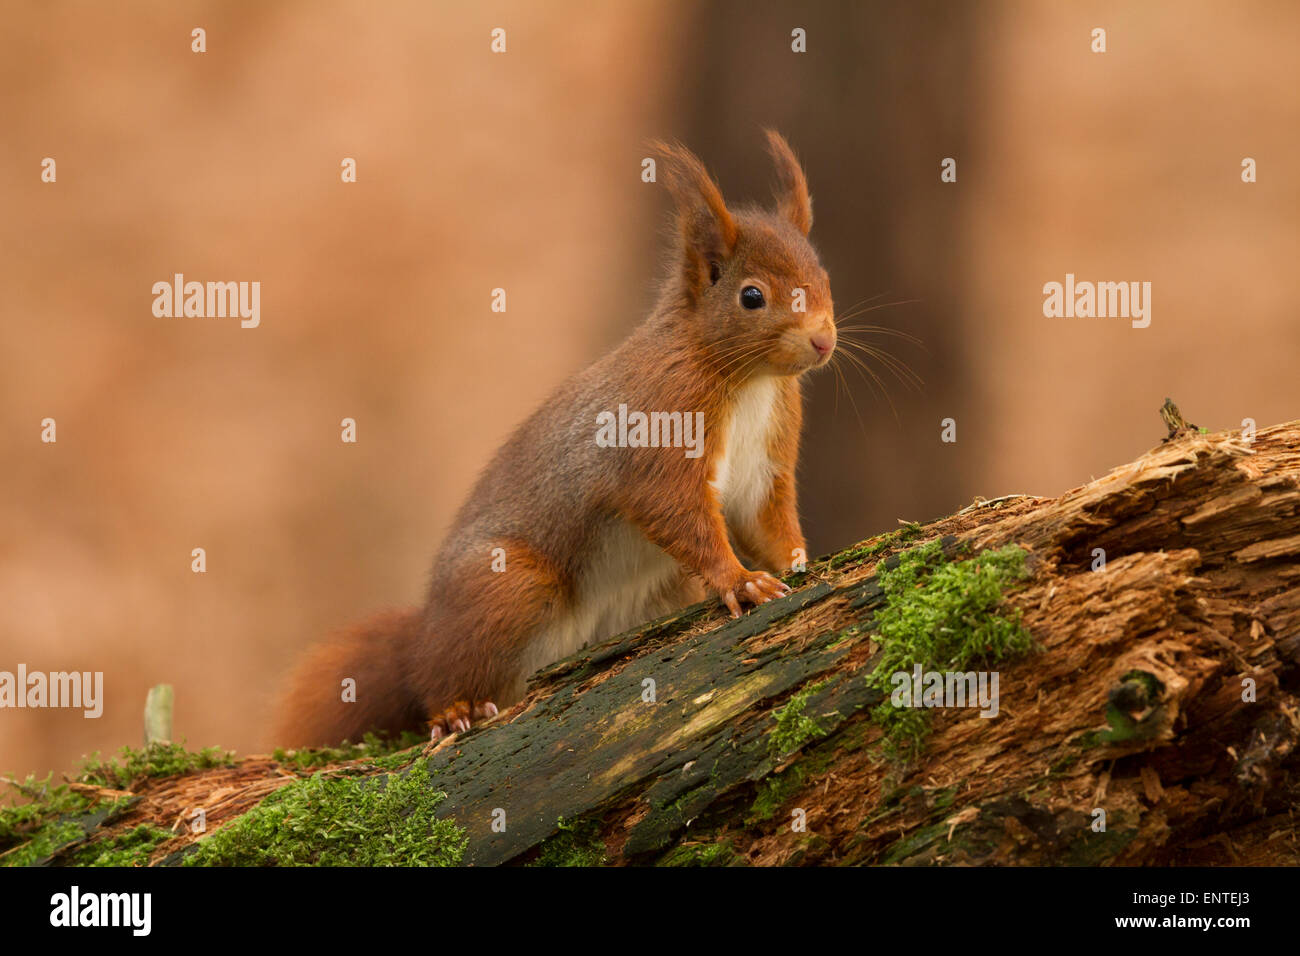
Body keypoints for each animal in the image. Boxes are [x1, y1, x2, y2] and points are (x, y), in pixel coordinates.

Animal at [273, 131, 836, 747]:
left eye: (825, 278)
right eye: (751, 297)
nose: (824, 341)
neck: (748, 381)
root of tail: (424, 630)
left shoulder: (766, 461)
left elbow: (766, 517)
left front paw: (796, 560)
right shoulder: (658, 427)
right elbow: (674, 509)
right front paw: (741, 580)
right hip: (506, 586)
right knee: (439, 674)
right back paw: (453, 708)